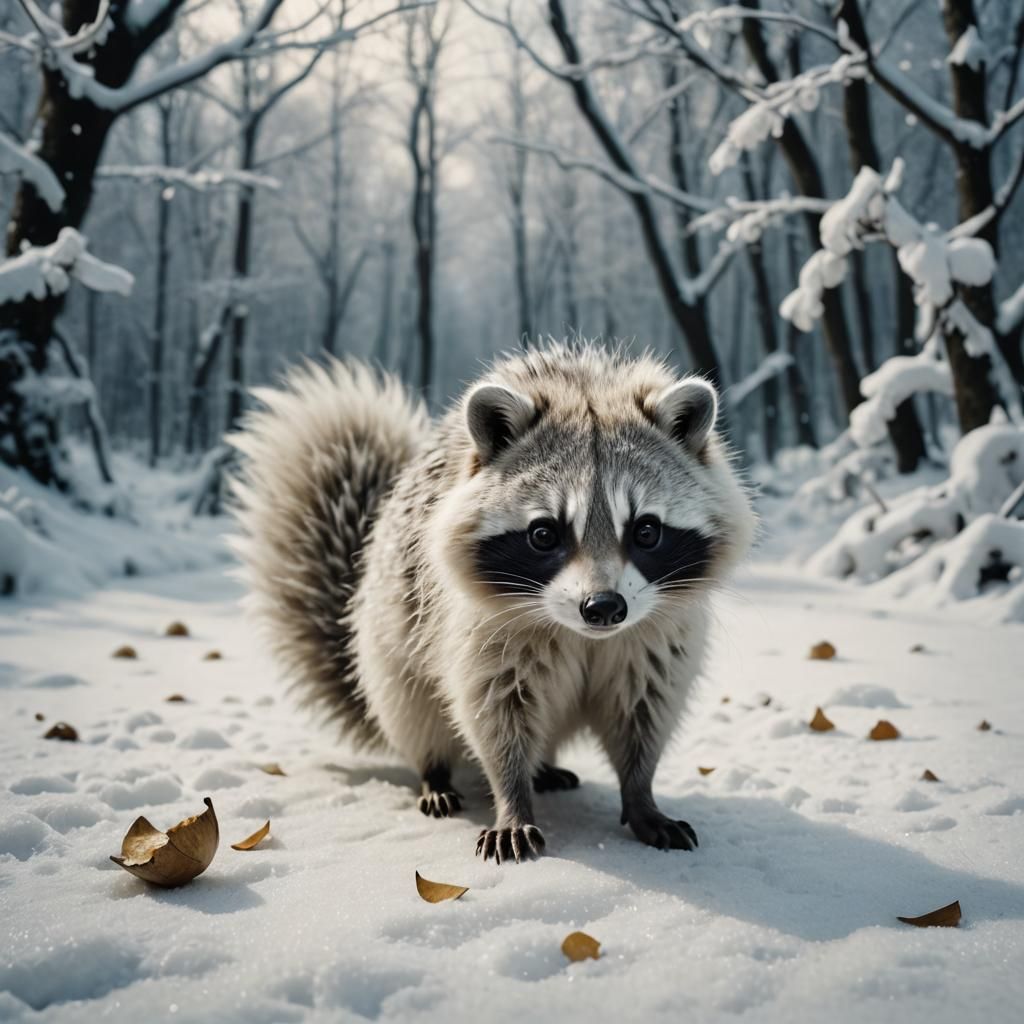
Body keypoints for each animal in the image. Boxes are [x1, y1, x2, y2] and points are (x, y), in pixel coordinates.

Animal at [230, 344, 755, 863]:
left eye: (646, 530)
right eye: (544, 534)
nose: (604, 607)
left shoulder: (657, 636)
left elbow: (644, 711)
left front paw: (641, 792)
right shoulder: (478, 629)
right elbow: (496, 715)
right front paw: (512, 798)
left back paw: (543, 766)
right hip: (391, 639)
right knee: (413, 707)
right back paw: (436, 772)